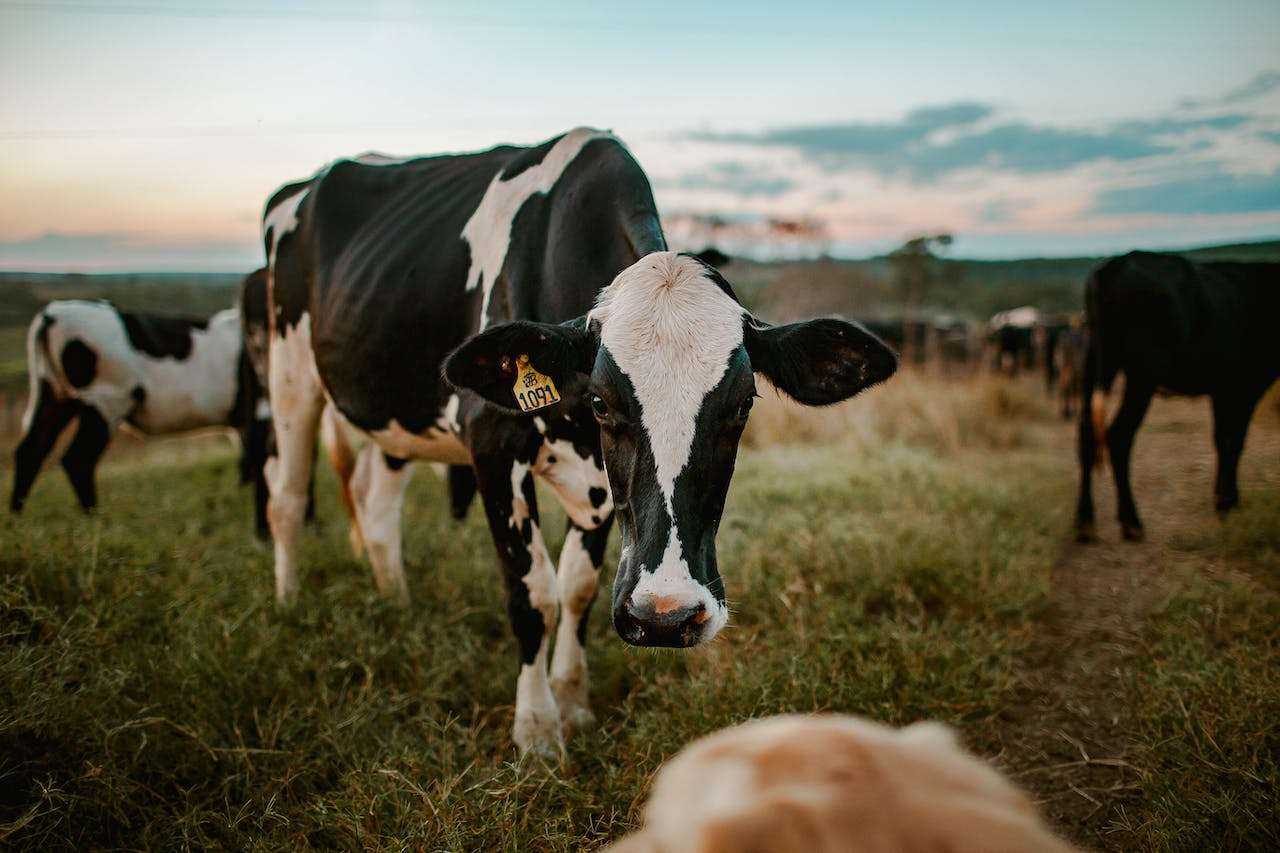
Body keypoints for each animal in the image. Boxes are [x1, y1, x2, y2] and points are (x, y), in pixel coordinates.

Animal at [10, 299, 266, 517]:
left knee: (31, 450)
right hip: (106, 399)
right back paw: (94, 517)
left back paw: (16, 517)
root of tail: (53, 313)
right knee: (78, 459)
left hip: (55, 395)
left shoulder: (243, 423)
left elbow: (248, 463)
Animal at [262, 128, 897, 756]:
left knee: (375, 508)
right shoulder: (492, 445)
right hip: (289, 374)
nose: (667, 617)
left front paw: (572, 701)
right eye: (600, 403)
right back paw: (288, 605)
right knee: (286, 499)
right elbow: (533, 594)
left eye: (742, 406)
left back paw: (396, 602)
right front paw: (537, 729)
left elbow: (577, 587)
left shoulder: (600, 485)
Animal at [1076, 251, 1280, 542]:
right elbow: (1235, 441)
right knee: (1119, 435)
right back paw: (1131, 522)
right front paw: (1228, 503)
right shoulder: (1245, 386)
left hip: (1094, 362)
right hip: (1142, 376)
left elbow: (1222, 439)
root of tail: (1118, 263)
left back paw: (1085, 522)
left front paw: (1223, 500)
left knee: (1086, 433)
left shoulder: (1222, 389)